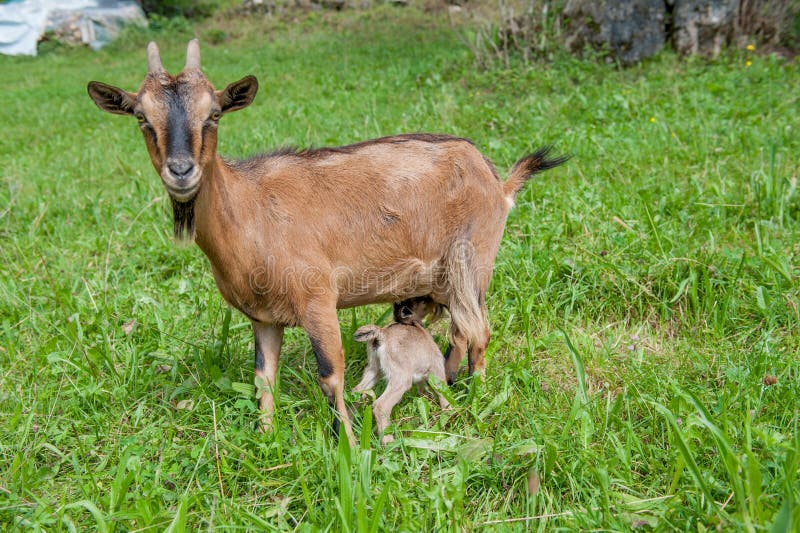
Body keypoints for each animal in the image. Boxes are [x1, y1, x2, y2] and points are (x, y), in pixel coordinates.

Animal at [353, 307, 449, 445]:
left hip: (374, 369)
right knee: (381, 405)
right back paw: (389, 443)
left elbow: (424, 392)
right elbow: (443, 394)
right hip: (400, 379)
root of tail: (381, 334)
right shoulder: (437, 370)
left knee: (356, 391)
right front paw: (449, 415)